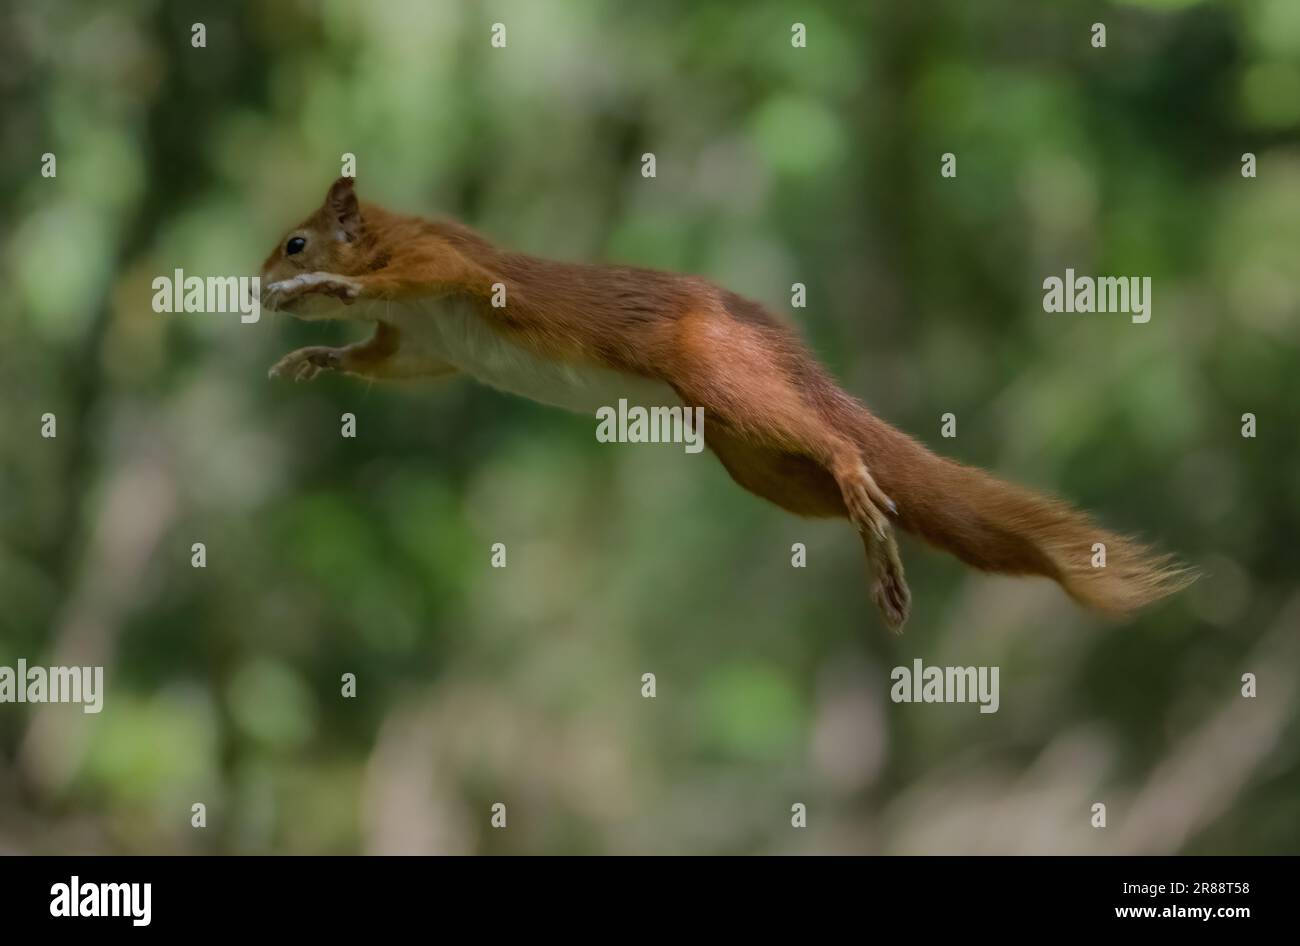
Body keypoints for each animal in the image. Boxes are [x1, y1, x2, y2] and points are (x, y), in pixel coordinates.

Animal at [260, 177, 1194, 632]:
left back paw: (858, 481)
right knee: (855, 488)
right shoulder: (419, 347)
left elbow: (421, 274)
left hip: (723, 382)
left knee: (831, 441)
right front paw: (312, 357)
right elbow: (386, 362)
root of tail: (766, 333)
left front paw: (327, 289)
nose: (261, 282)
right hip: (756, 466)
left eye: (295, 241)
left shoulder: (440, 261)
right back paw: (881, 549)